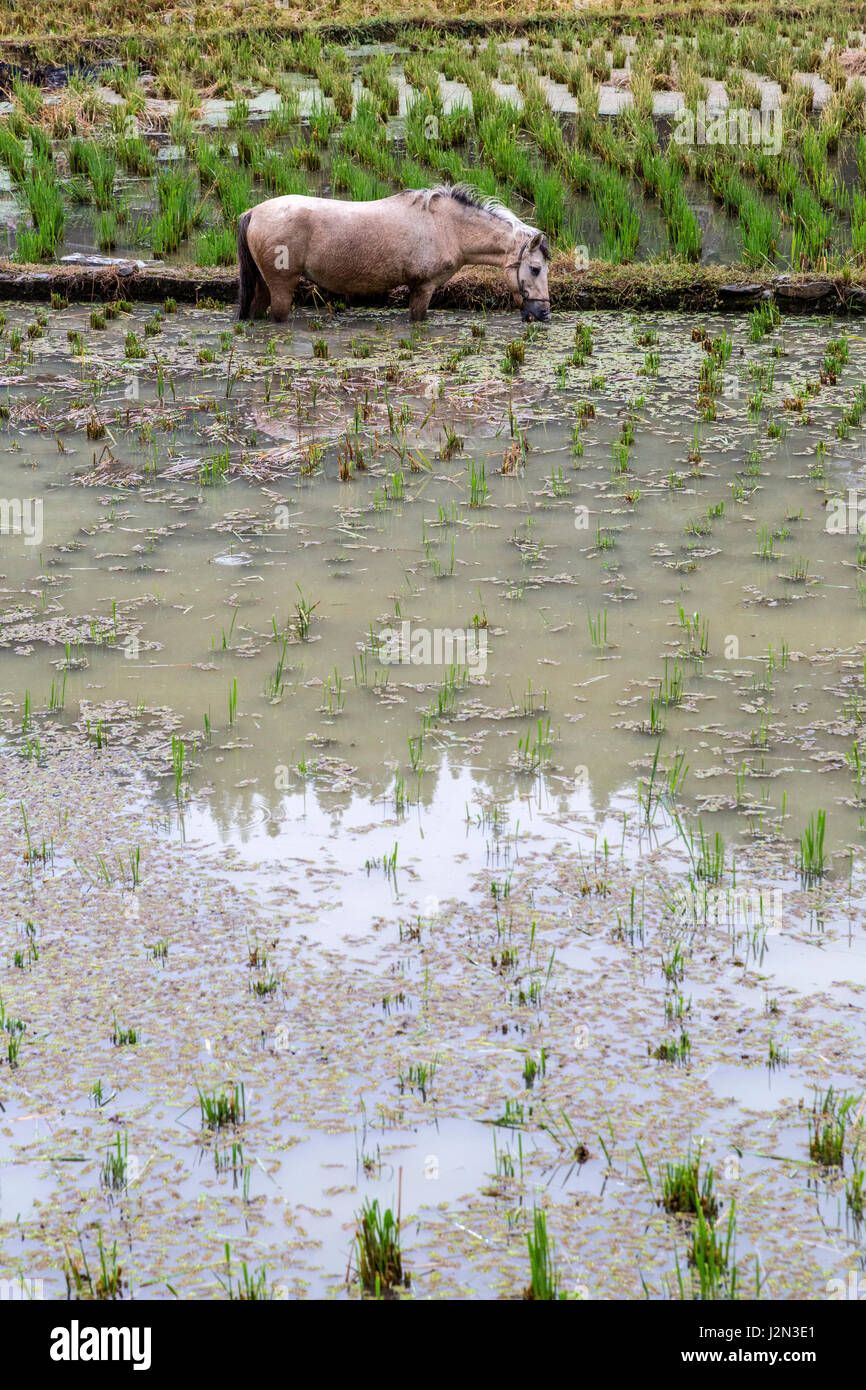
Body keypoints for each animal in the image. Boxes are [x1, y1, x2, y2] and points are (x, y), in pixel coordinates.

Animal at [236, 184, 551, 325]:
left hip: (263, 287)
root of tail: (252, 212)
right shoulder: (424, 287)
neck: (446, 226)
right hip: (281, 287)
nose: (544, 313)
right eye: (535, 268)